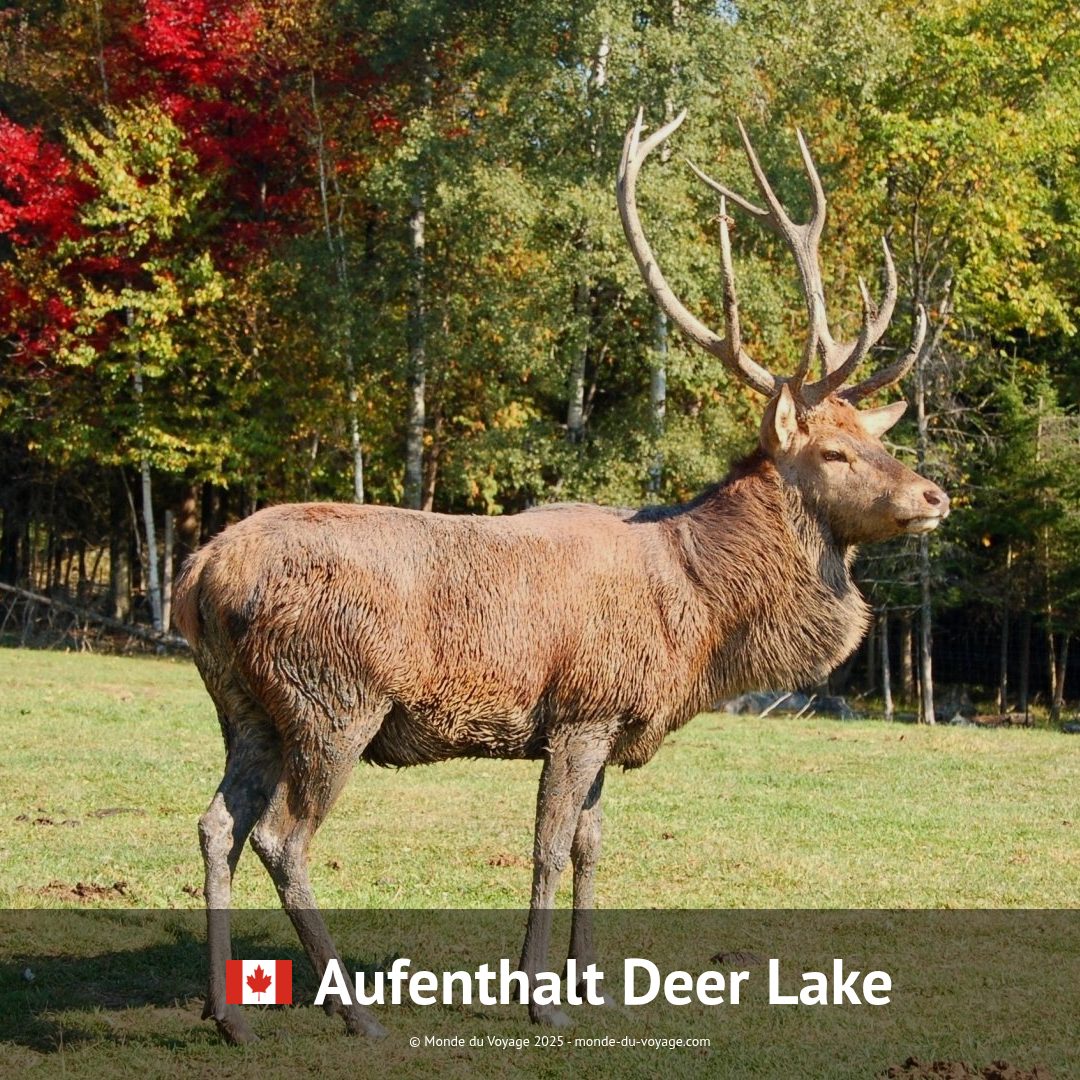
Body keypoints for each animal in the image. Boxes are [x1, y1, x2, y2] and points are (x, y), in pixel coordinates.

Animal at [174, 109, 949, 1043]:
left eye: (875, 437)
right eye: (834, 452)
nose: (934, 494)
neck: (696, 614)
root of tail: (198, 574)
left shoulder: (615, 718)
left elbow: (590, 843)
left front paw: (590, 983)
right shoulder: (583, 710)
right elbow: (546, 844)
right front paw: (539, 997)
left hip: (245, 705)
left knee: (217, 822)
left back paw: (228, 1011)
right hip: (333, 698)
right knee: (281, 835)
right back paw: (355, 1012)